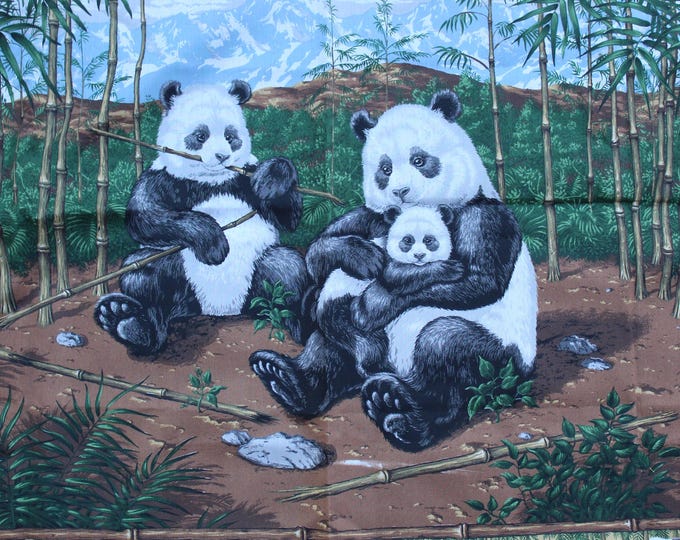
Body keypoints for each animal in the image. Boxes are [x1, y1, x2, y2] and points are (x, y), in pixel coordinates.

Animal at [95, 80, 310, 355]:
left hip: (260, 270)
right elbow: (144, 216)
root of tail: (222, 307)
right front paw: (213, 244)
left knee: (288, 271)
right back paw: (129, 324)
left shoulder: (244, 178)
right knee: (143, 274)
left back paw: (303, 326)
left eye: (230, 136)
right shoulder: (163, 177)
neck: (211, 180)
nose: (222, 156)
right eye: (201, 136)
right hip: (177, 275)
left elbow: (287, 217)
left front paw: (272, 178)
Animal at [250, 89, 538, 451]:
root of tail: (392, 366)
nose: (400, 191)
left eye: (420, 160)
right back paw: (287, 378)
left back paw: (399, 409)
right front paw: (360, 257)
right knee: (326, 339)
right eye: (384, 169)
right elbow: (319, 252)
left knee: (447, 347)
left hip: (503, 356)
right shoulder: (374, 217)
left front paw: (376, 301)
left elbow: (479, 279)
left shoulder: (483, 215)